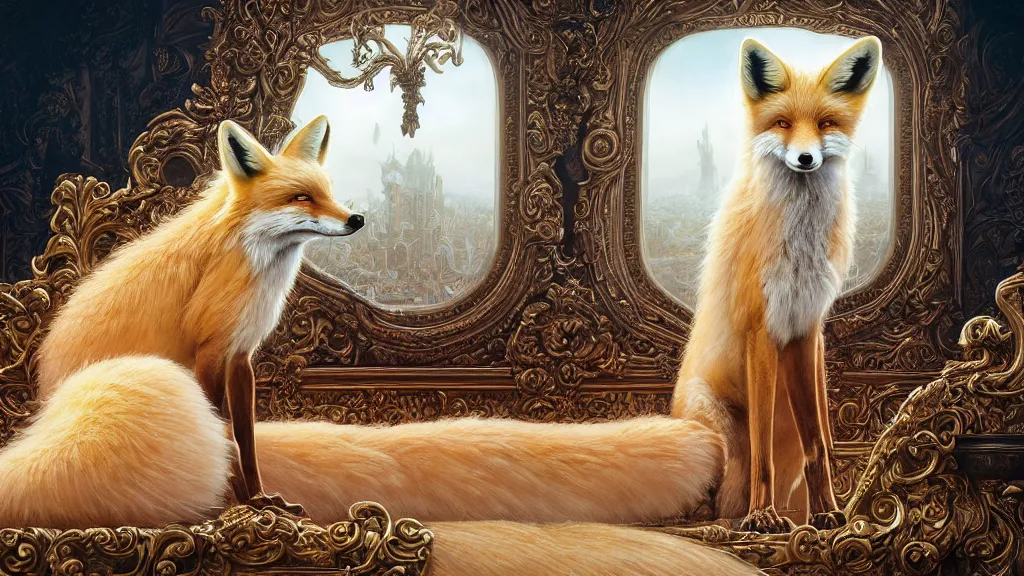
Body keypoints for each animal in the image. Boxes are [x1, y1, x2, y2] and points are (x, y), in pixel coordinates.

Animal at [0, 116, 759, 575]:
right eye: (302, 197)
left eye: (328, 190)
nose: (360, 218)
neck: (255, 262)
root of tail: (41, 414)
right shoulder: (215, 348)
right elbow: (232, 442)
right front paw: (243, 505)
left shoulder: (240, 357)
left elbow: (244, 437)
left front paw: (260, 501)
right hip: (147, 384)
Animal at [670, 36, 882, 533]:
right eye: (782, 123)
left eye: (825, 123)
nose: (806, 158)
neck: (798, 247)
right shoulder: (761, 331)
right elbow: (761, 446)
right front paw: (762, 517)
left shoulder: (806, 329)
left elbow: (818, 444)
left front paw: (826, 512)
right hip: (716, 434)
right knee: (718, 488)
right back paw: (724, 518)